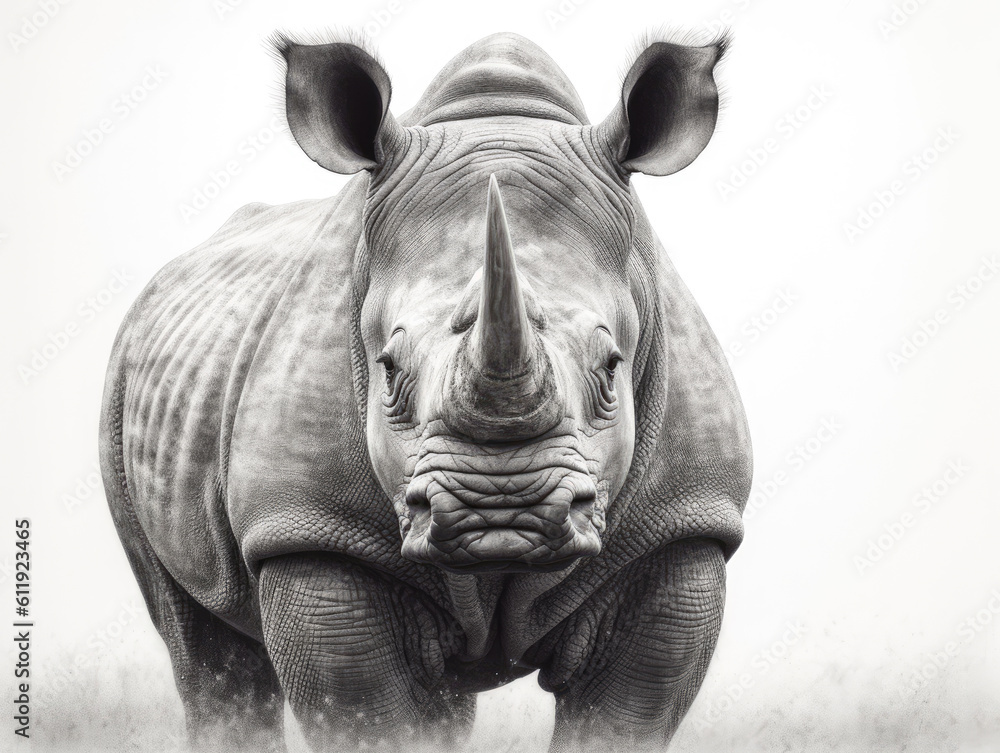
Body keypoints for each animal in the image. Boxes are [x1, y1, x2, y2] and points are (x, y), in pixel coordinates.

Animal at [100, 30, 751, 753]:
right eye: (388, 368)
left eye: (612, 366)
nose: (502, 511)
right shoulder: (308, 529)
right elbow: (367, 717)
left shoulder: (688, 523)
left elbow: (622, 718)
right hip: (124, 385)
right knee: (203, 649)